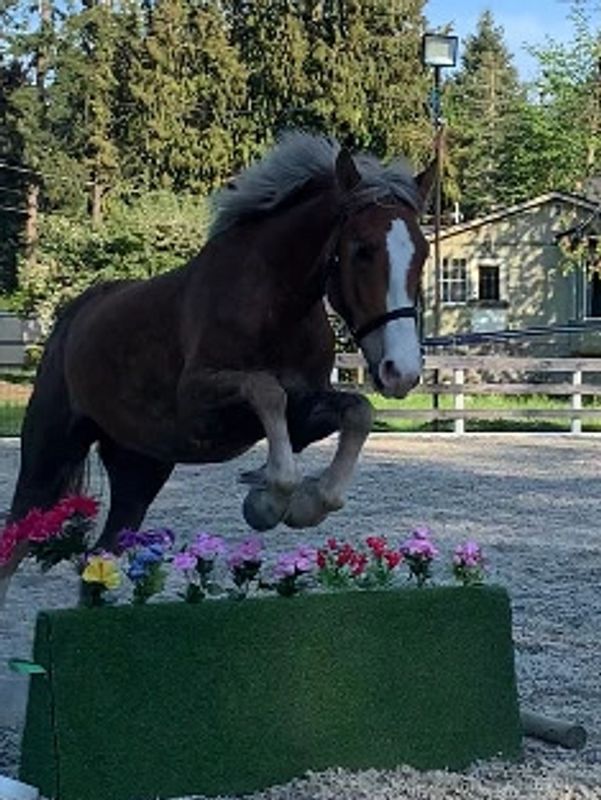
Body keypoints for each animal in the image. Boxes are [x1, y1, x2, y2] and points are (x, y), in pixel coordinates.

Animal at [3, 131, 433, 576]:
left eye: (423, 253)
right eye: (362, 250)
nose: (401, 371)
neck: (277, 305)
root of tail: (72, 315)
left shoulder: (306, 407)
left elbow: (357, 412)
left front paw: (302, 501)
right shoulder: (197, 404)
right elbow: (267, 392)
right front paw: (268, 501)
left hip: (139, 467)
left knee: (100, 554)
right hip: (49, 455)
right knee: (15, 542)